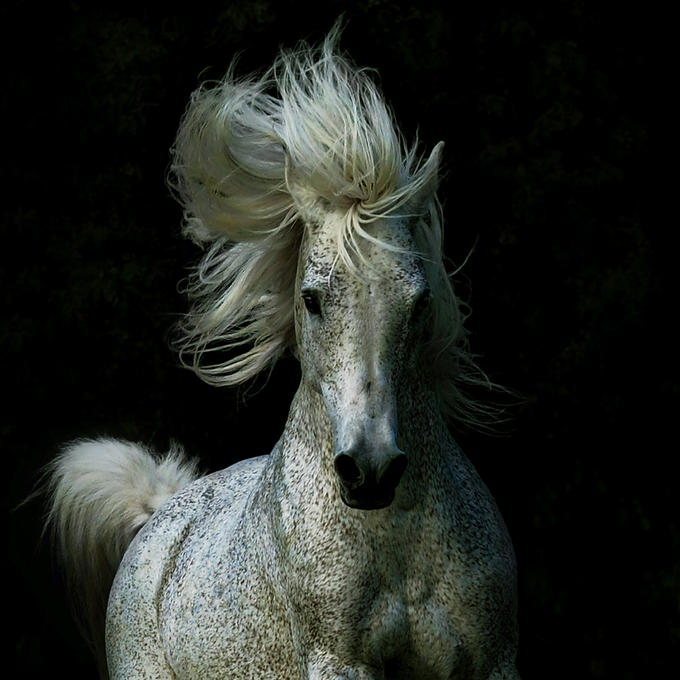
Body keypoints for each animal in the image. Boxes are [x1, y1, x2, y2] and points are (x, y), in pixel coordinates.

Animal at [45, 25, 520, 680]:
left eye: (421, 299)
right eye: (312, 299)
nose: (370, 470)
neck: (394, 537)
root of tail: (161, 515)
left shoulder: (494, 663)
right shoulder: (338, 664)